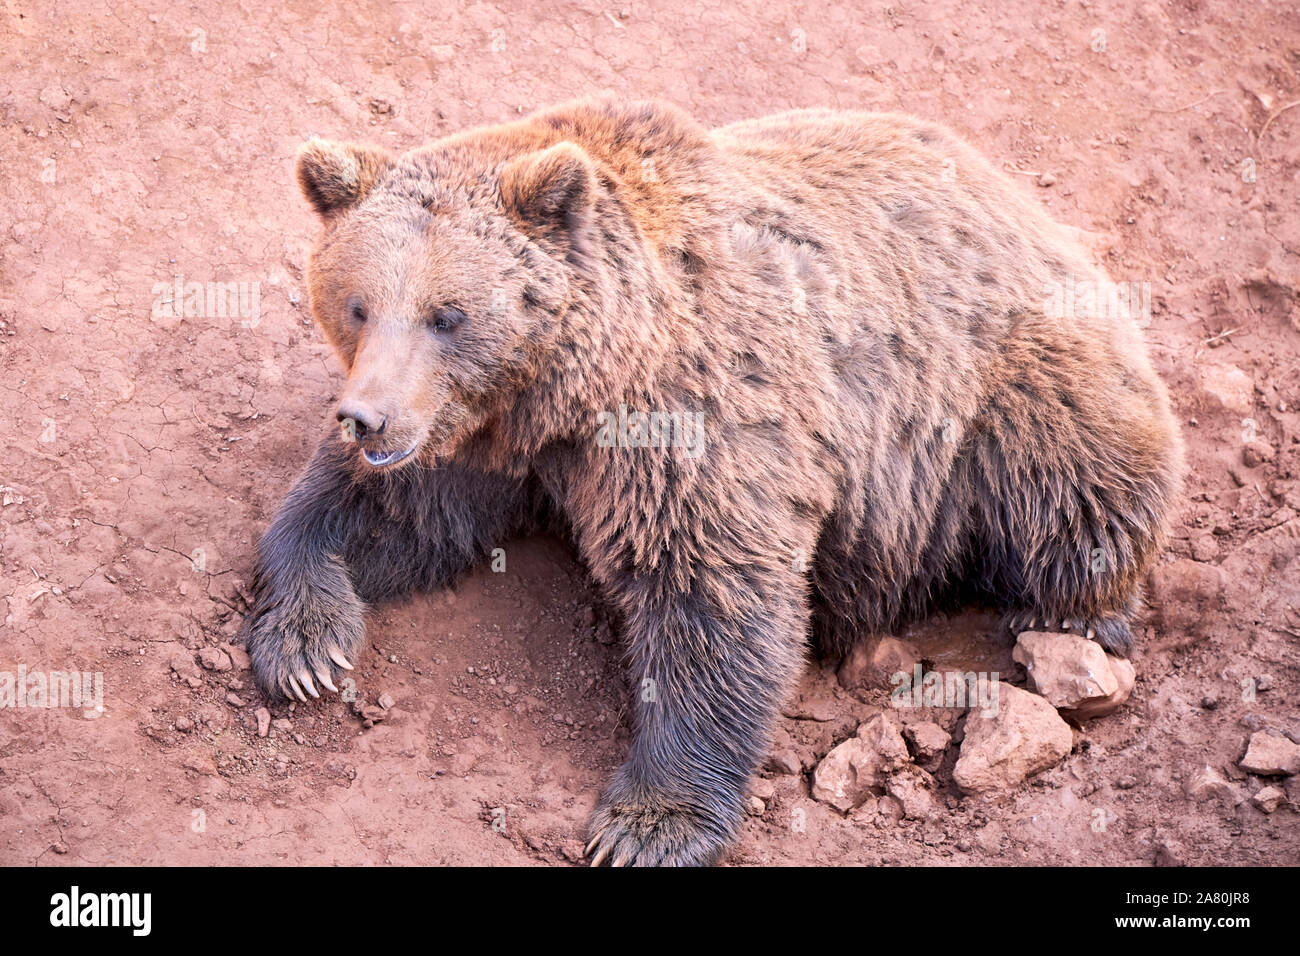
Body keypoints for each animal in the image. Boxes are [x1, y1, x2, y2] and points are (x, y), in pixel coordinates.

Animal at [243, 96, 1183, 866]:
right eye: (358, 302)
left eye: (449, 314)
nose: (365, 419)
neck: (570, 388)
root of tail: (1020, 196)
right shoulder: (480, 438)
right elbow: (387, 516)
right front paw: (305, 645)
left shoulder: (693, 417)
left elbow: (709, 590)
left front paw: (648, 824)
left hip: (1007, 393)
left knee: (1074, 484)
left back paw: (1072, 616)